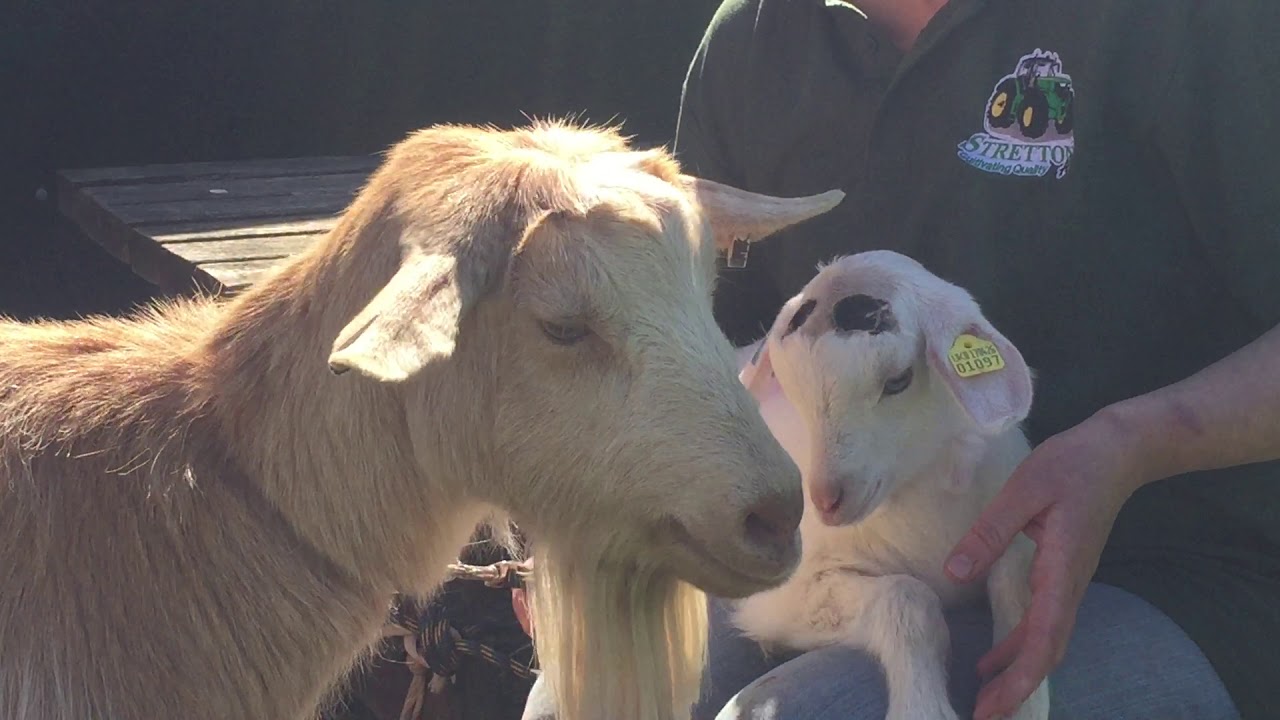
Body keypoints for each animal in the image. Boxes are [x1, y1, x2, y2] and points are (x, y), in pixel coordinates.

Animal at [730, 250, 1049, 720]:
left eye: (898, 380)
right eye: (789, 390)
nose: (825, 501)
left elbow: (1014, 585)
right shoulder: (779, 599)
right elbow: (907, 596)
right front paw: (923, 706)